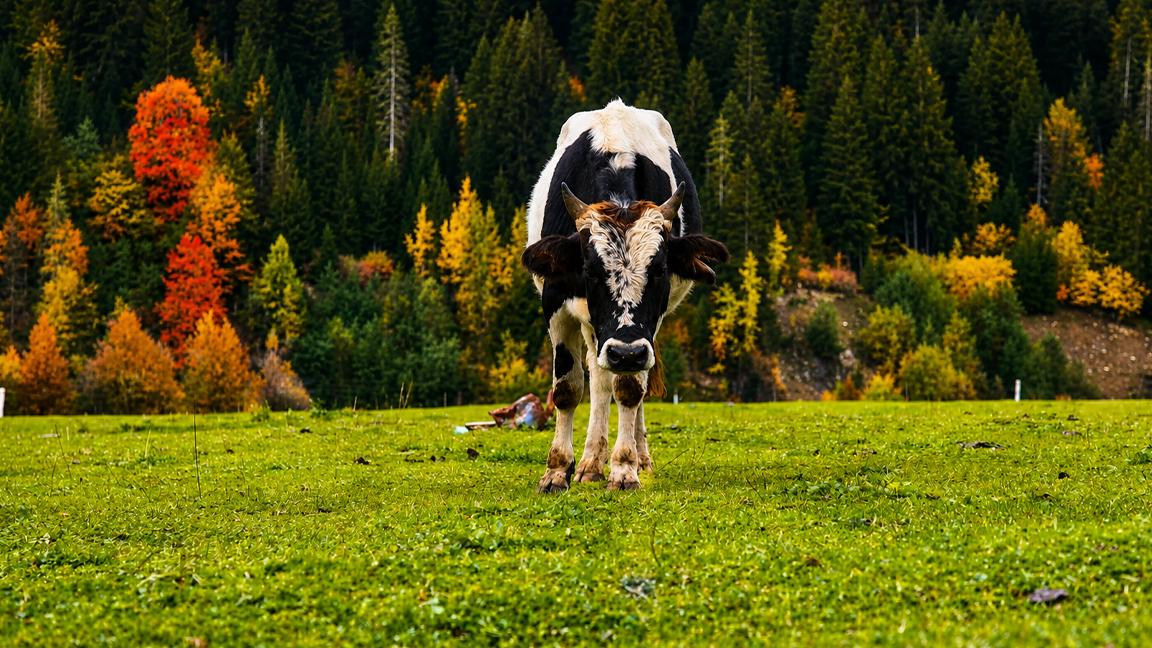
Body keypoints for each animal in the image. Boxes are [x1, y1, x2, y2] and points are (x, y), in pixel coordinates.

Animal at [521, 99, 729, 494]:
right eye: (589, 269)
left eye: (659, 268)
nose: (626, 352)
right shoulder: (555, 302)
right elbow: (568, 387)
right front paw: (557, 472)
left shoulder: (648, 326)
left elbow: (631, 389)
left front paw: (624, 469)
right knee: (600, 377)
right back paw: (590, 462)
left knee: (626, 383)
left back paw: (635, 458)